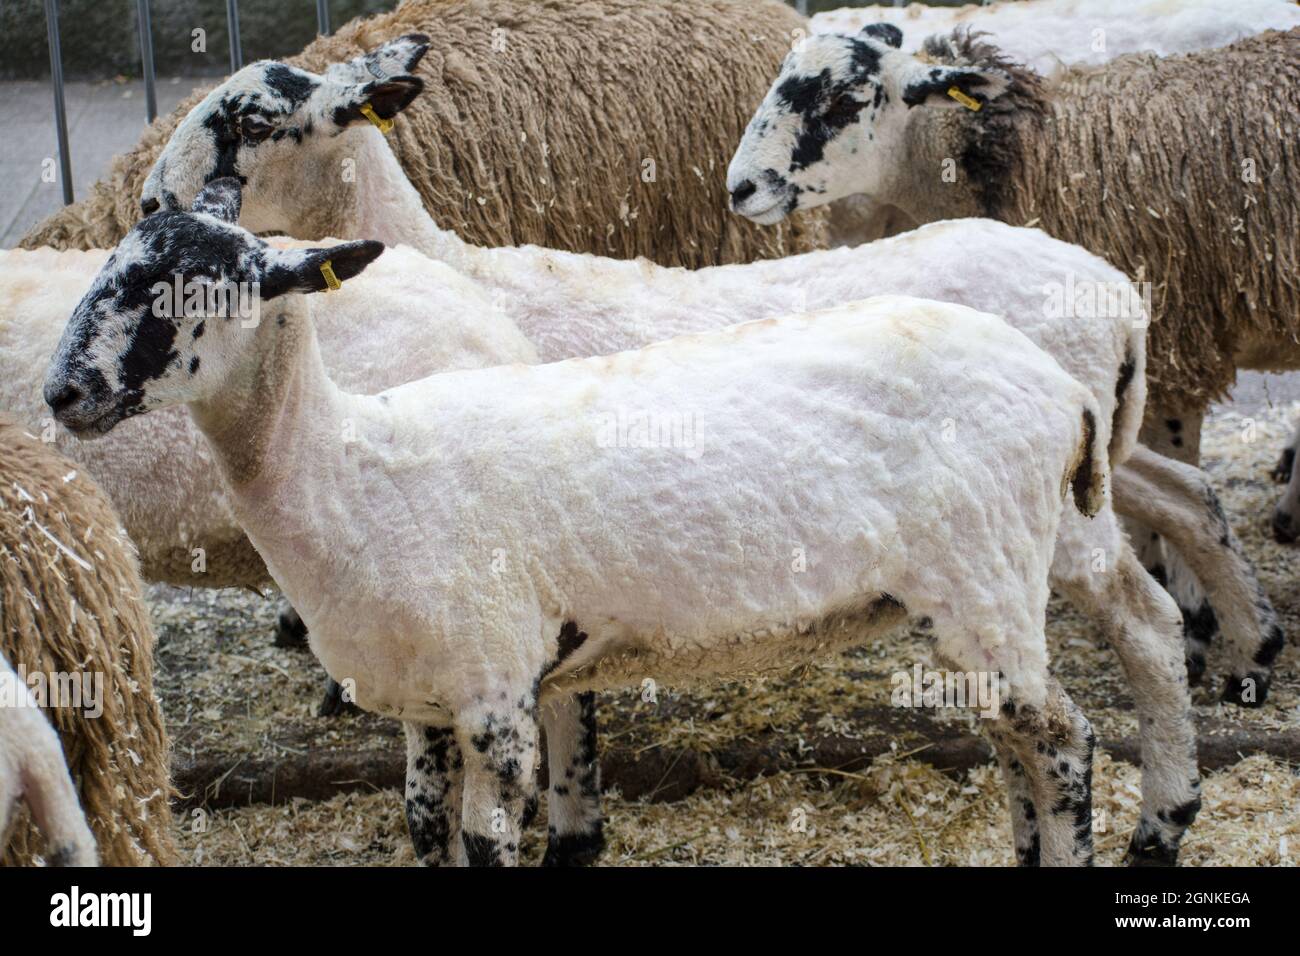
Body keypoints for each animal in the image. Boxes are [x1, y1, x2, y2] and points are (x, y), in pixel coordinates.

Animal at [43, 184, 1203, 865]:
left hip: (991, 571)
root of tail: (1061, 387)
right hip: (985, 586)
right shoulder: (426, 695)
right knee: (1045, 718)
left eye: (191, 286)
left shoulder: (498, 693)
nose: (62, 393)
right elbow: (424, 827)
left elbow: (487, 842)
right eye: (108, 266)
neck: (347, 468)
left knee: (1064, 738)